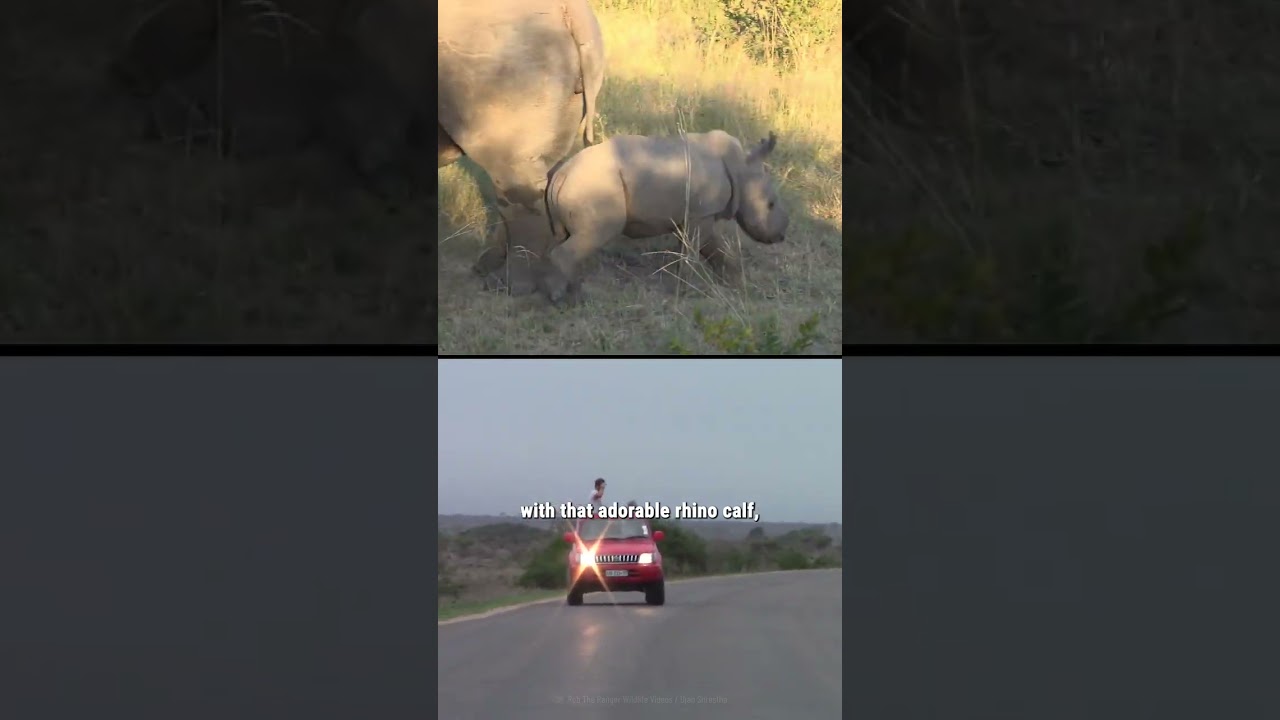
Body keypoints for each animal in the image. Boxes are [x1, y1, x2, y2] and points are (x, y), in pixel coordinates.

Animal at [539, 130, 789, 304]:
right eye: (771, 204)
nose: (780, 236)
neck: (741, 168)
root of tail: (561, 174)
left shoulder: (691, 218)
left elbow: (711, 251)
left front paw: (734, 281)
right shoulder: (701, 215)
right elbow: (694, 253)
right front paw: (685, 291)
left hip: (576, 185)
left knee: (561, 238)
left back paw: (565, 290)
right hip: (592, 184)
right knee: (596, 233)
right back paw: (566, 299)